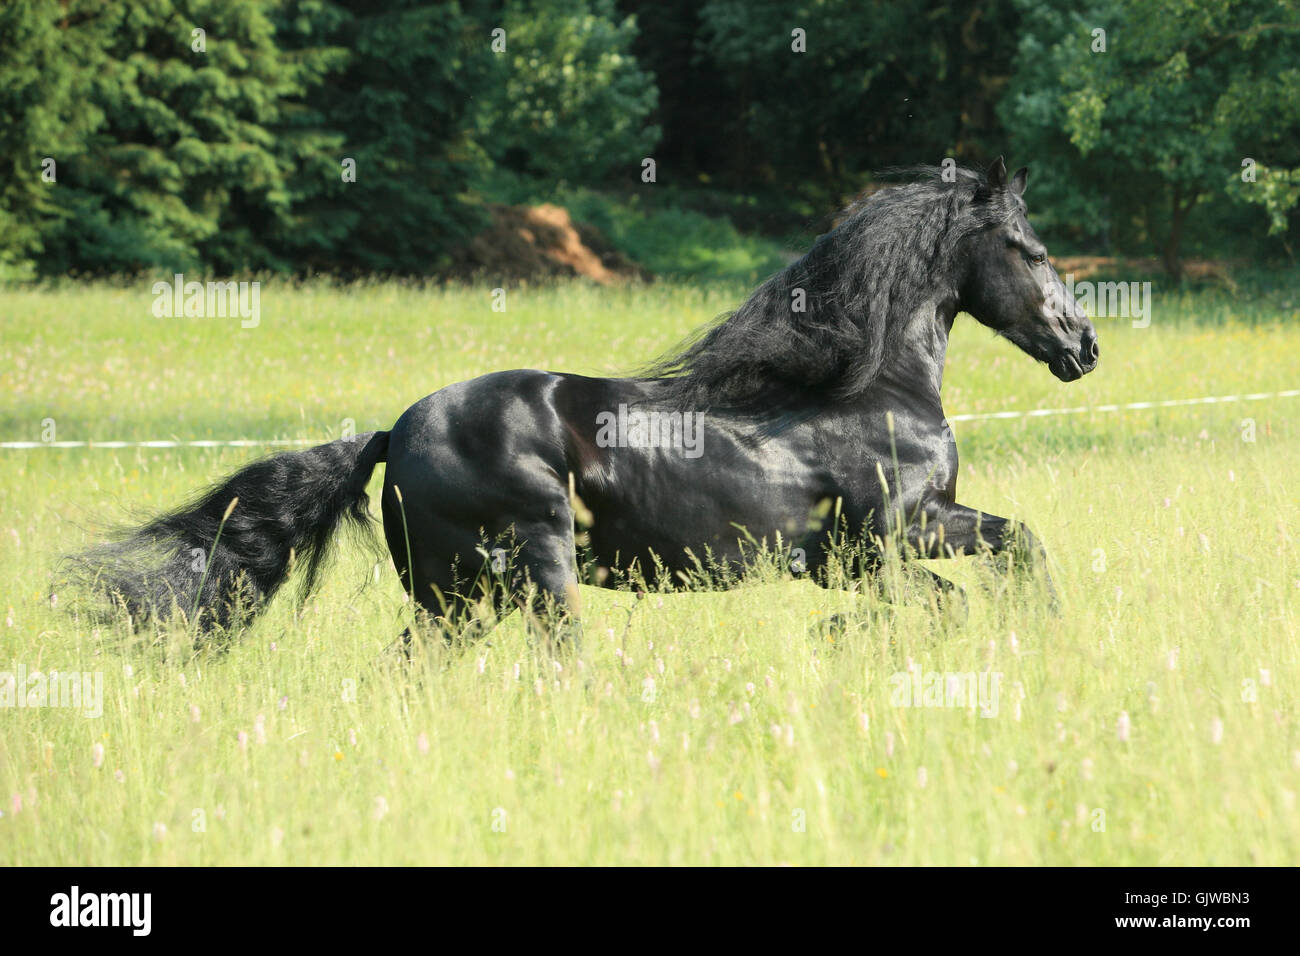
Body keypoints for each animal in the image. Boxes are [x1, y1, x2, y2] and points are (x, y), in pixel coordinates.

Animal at [71, 158, 1097, 644]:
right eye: (1032, 248)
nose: (1084, 346)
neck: (872, 390)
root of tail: (392, 432)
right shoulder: (896, 536)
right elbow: (983, 574)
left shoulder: (885, 545)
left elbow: (987, 569)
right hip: (535, 569)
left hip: (455, 596)